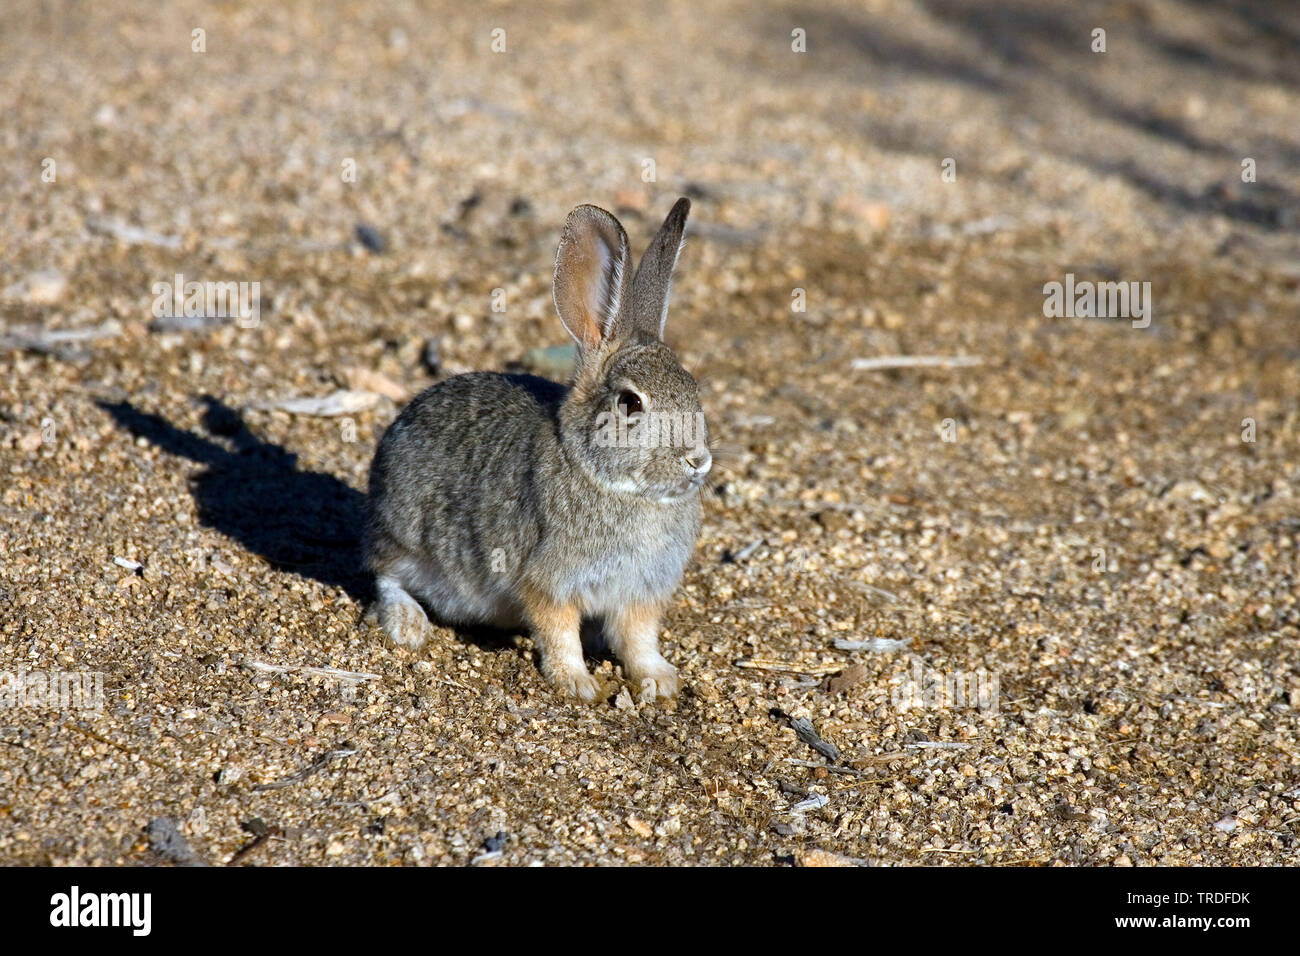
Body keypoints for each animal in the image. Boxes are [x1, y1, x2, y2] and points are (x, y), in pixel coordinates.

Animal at [365, 197, 711, 702]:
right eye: (630, 402)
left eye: (693, 390)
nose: (697, 460)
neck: (610, 483)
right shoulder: (548, 579)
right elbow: (558, 630)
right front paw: (578, 683)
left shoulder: (640, 592)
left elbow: (638, 637)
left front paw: (660, 680)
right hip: (404, 533)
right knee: (384, 573)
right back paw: (409, 624)